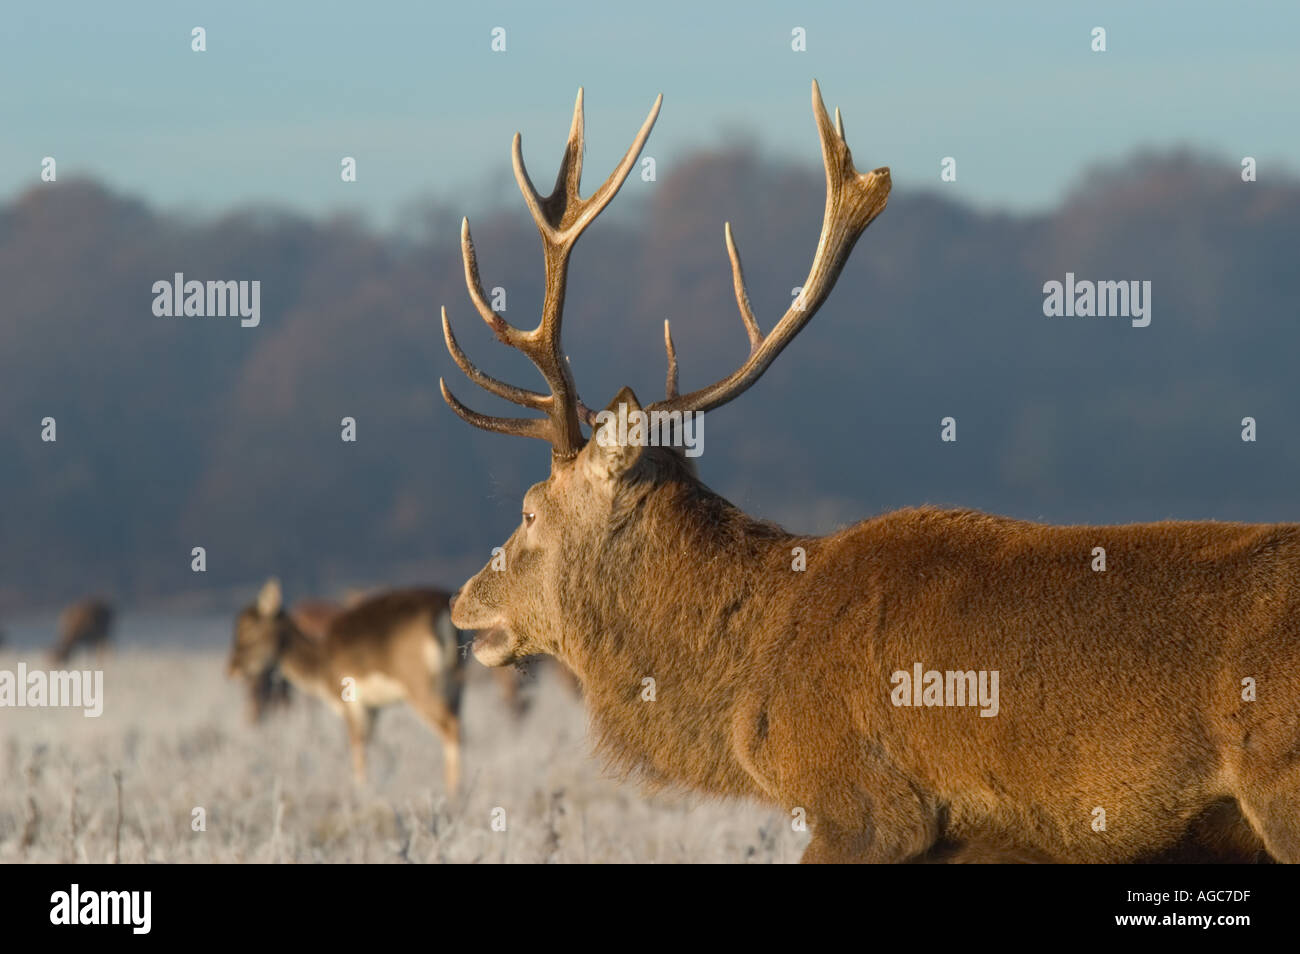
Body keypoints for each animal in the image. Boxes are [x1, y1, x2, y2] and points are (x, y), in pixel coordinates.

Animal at [227, 579, 465, 788]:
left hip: (420, 685)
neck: (321, 670)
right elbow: (368, 746)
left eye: (249, 628)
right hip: (456, 686)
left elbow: (357, 750)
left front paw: (360, 791)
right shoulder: (373, 709)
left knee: (451, 728)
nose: (231, 669)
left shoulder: (351, 701)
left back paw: (453, 795)